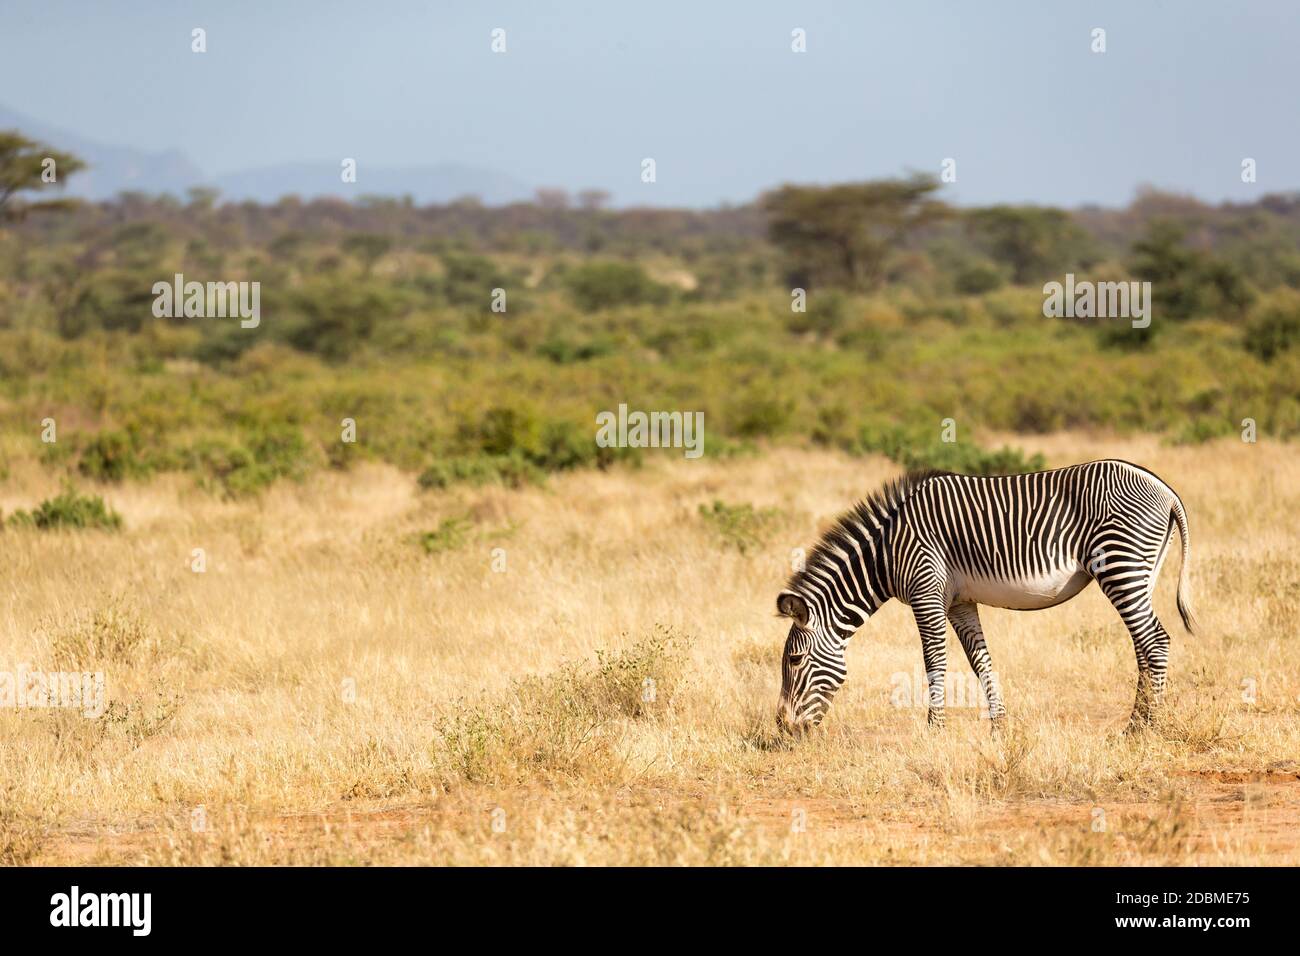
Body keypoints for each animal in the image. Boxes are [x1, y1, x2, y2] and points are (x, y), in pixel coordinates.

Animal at [774, 459, 1196, 735]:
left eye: (794, 660)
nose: (782, 726)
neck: (887, 550)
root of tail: (1165, 489)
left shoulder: (926, 591)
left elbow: (935, 663)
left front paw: (935, 732)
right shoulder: (959, 602)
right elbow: (980, 661)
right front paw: (999, 728)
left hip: (1120, 564)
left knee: (1155, 641)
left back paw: (1144, 728)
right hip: (1141, 572)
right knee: (1142, 644)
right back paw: (1140, 718)